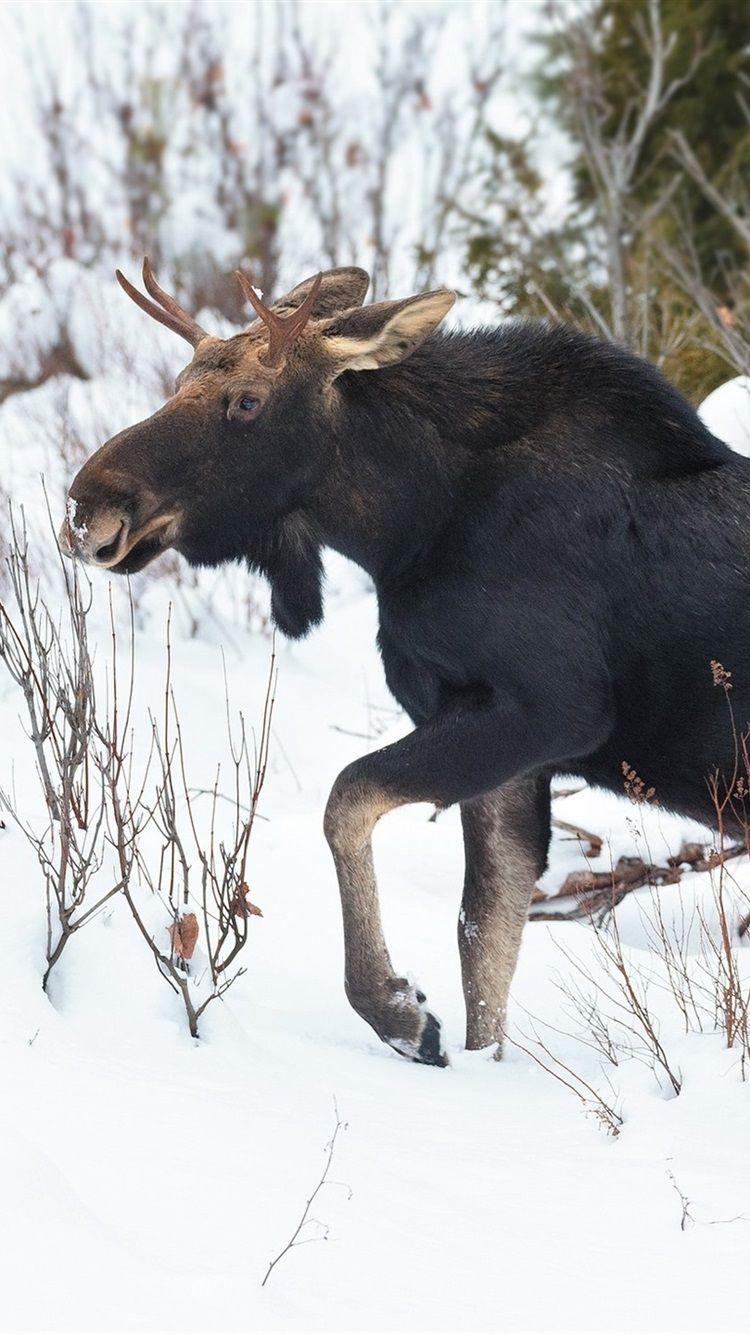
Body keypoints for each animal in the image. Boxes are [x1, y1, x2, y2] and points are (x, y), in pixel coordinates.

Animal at [60, 259, 750, 1067]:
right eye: (176, 383)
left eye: (248, 400)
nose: (88, 505)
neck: (404, 526)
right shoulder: (513, 758)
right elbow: (484, 947)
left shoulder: (550, 710)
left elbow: (347, 800)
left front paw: (397, 1010)